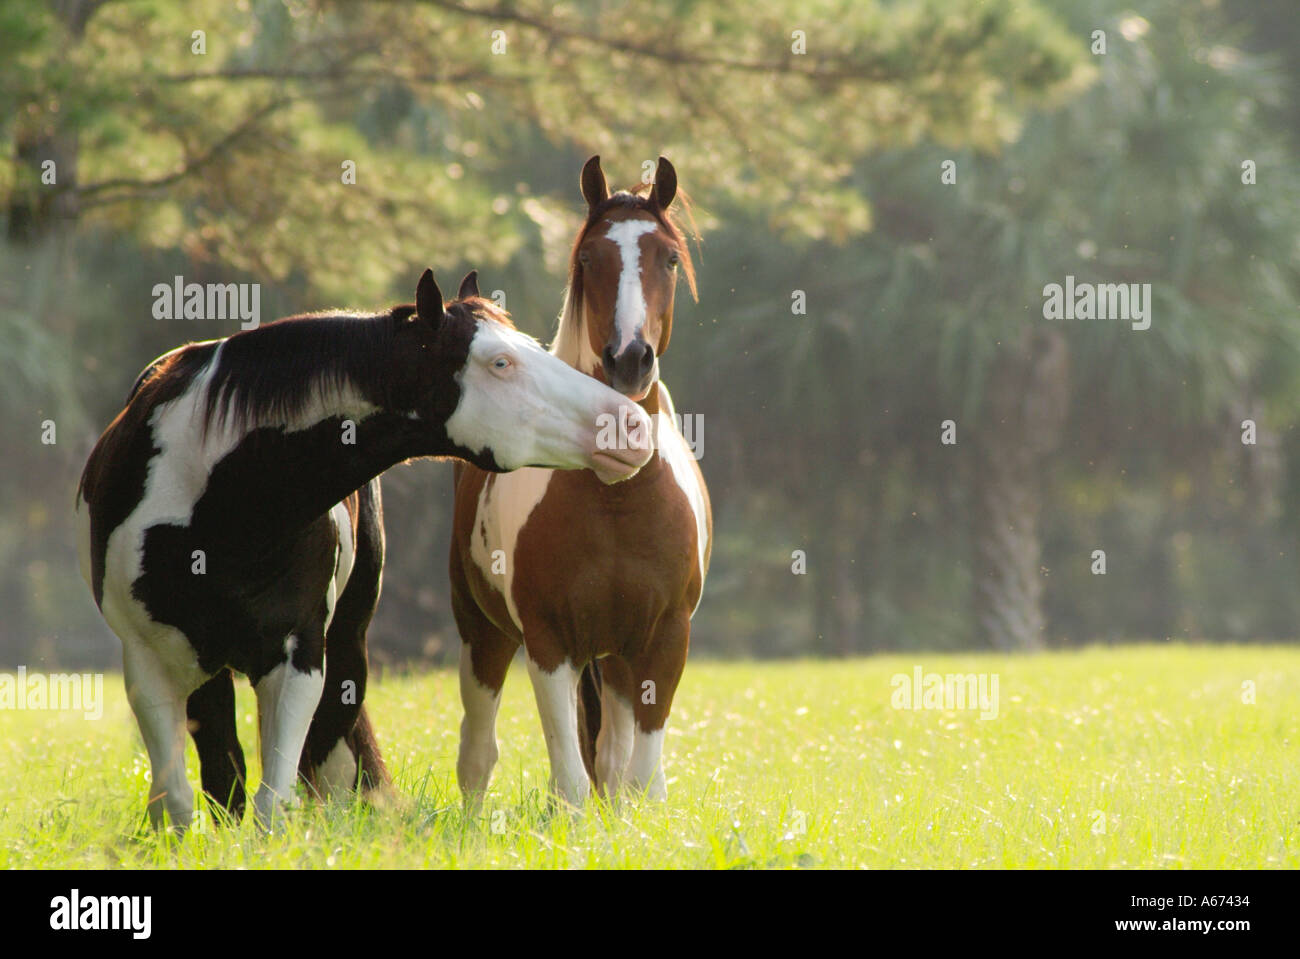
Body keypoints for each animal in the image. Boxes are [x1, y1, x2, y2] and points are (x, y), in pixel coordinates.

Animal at [76, 268, 652, 831]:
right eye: (501, 362)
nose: (630, 425)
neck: (217, 501)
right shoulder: (148, 662)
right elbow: (176, 804)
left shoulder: (299, 660)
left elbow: (272, 806)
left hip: (344, 649)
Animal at [449, 156, 711, 806]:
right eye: (590, 258)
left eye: (669, 258)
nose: (630, 359)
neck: (616, 500)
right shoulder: (549, 643)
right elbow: (569, 782)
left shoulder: (664, 641)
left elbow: (641, 779)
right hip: (484, 637)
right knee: (478, 753)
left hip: (615, 662)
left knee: (614, 761)